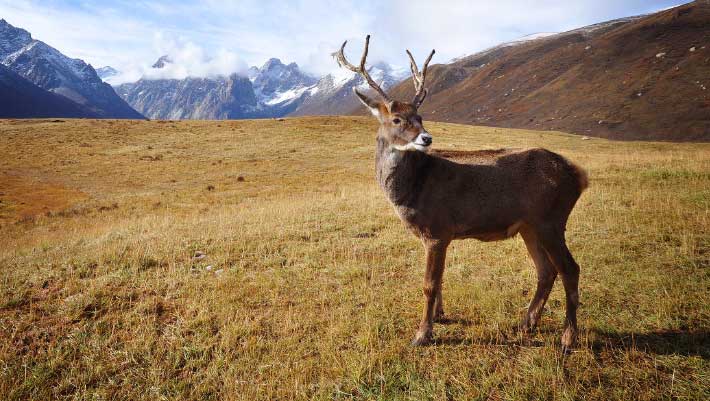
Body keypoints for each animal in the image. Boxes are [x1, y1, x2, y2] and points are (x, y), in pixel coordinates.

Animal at [334, 35, 589, 350]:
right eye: (396, 119)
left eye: (420, 115)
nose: (426, 137)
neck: (412, 190)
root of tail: (578, 175)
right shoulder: (439, 235)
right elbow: (440, 280)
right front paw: (439, 316)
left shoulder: (437, 229)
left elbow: (429, 284)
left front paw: (422, 334)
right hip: (530, 225)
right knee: (546, 270)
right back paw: (526, 323)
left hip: (551, 219)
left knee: (570, 269)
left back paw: (568, 337)